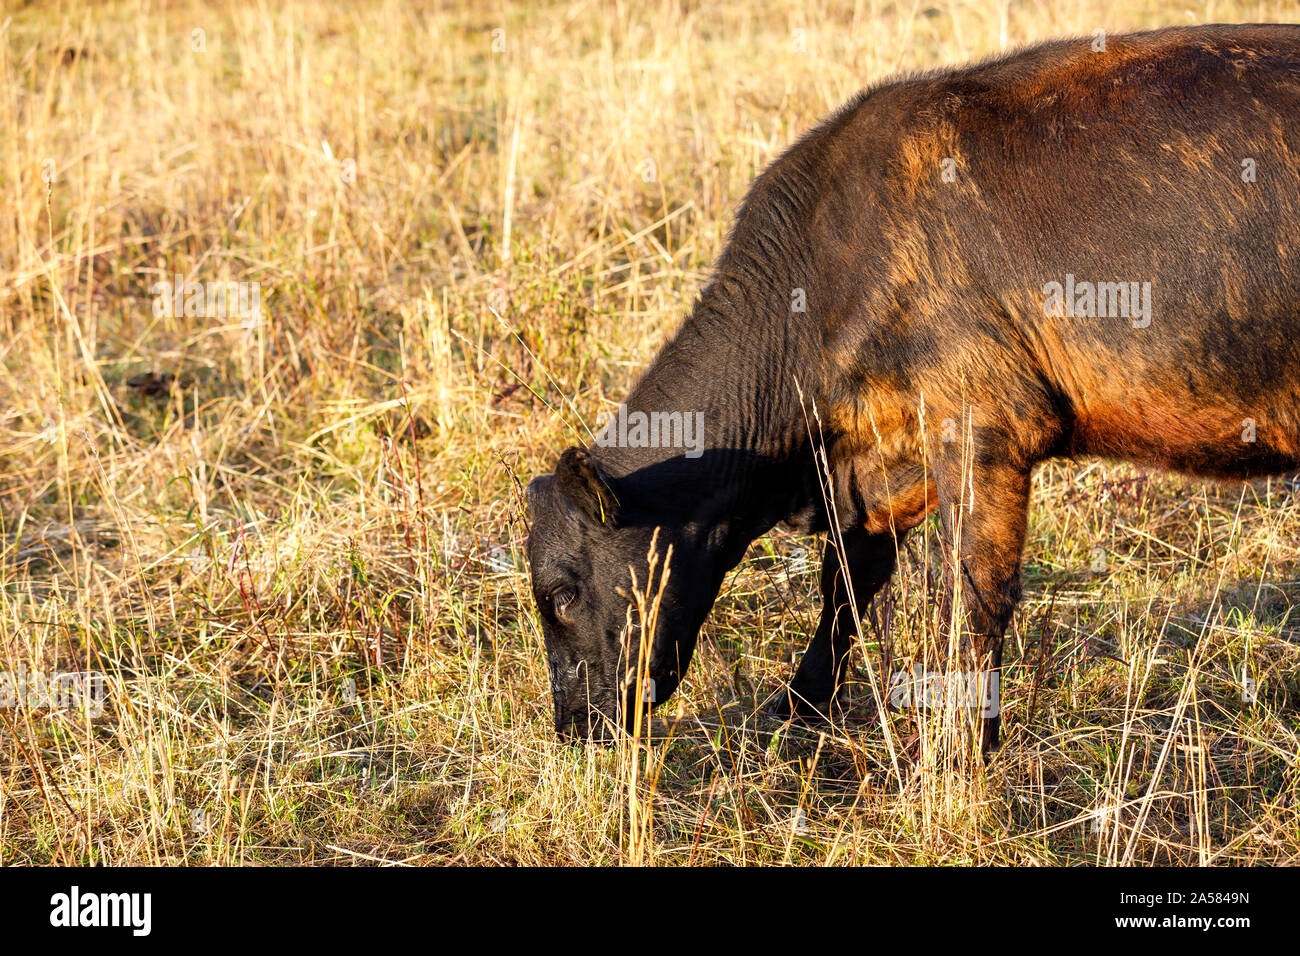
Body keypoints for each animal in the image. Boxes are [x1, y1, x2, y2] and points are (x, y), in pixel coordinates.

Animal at [524, 24, 1300, 755]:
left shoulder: (984, 424)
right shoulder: (878, 462)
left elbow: (974, 596)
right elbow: (848, 580)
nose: (574, 726)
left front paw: (965, 750)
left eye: (561, 593)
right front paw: (800, 706)